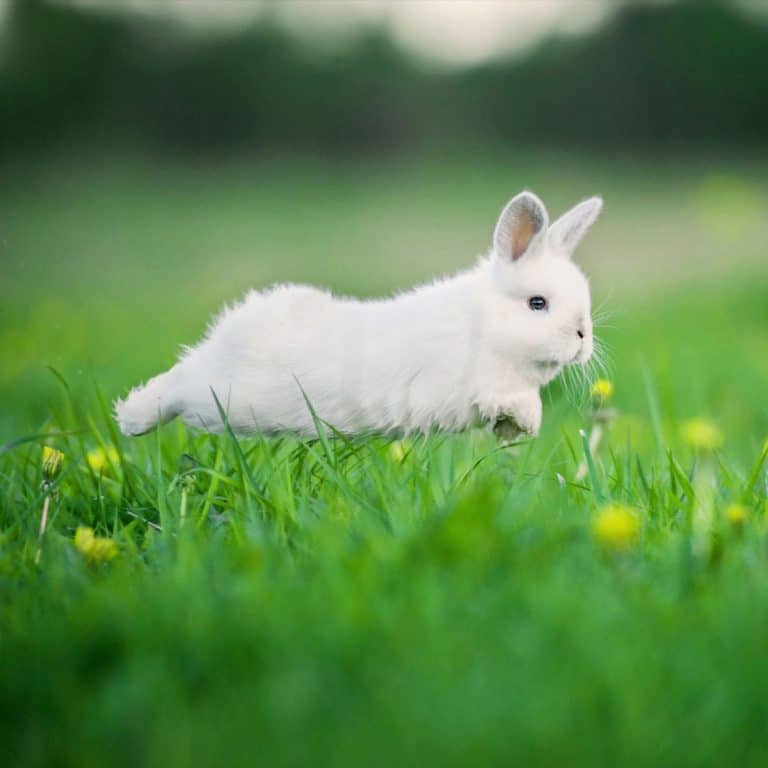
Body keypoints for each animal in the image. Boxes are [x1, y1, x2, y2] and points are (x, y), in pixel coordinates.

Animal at [115, 191, 602, 439]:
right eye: (537, 303)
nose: (582, 337)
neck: (486, 326)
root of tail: (229, 332)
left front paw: (516, 432)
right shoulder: (472, 383)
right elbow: (509, 398)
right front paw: (526, 420)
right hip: (229, 398)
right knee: (181, 386)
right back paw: (131, 419)